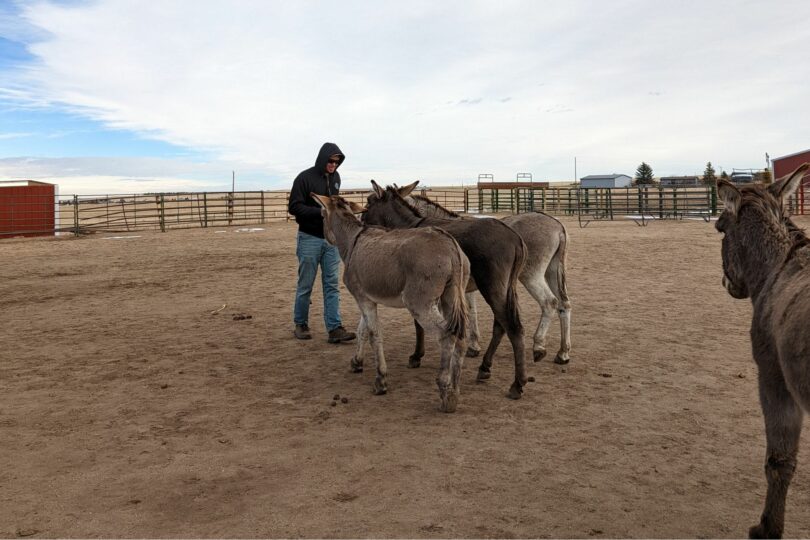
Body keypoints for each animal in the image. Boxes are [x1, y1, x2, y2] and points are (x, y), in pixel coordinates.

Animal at [311, 193, 470, 413]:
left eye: (321, 215)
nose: (323, 237)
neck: (352, 240)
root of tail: (449, 244)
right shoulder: (367, 299)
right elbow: (362, 330)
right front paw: (356, 362)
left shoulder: (362, 298)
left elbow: (373, 334)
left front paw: (381, 380)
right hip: (451, 297)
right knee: (460, 336)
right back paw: (455, 390)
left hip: (419, 303)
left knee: (446, 335)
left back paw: (446, 393)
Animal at [362, 182, 529, 400]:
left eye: (368, 202)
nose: (361, 222)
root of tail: (515, 238)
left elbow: (419, 324)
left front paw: (417, 356)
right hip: (506, 288)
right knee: (501, 325)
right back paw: (485, 367)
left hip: (492, 287)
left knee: (513, 328)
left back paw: (517, 384)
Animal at [397, 181, 572, 364]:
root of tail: (557, 224)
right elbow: (471, 311)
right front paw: (473, 345)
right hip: (551, 271)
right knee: (564, 304)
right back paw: (563, 353)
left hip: (531, 275)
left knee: (549, 302)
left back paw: (538, 346)